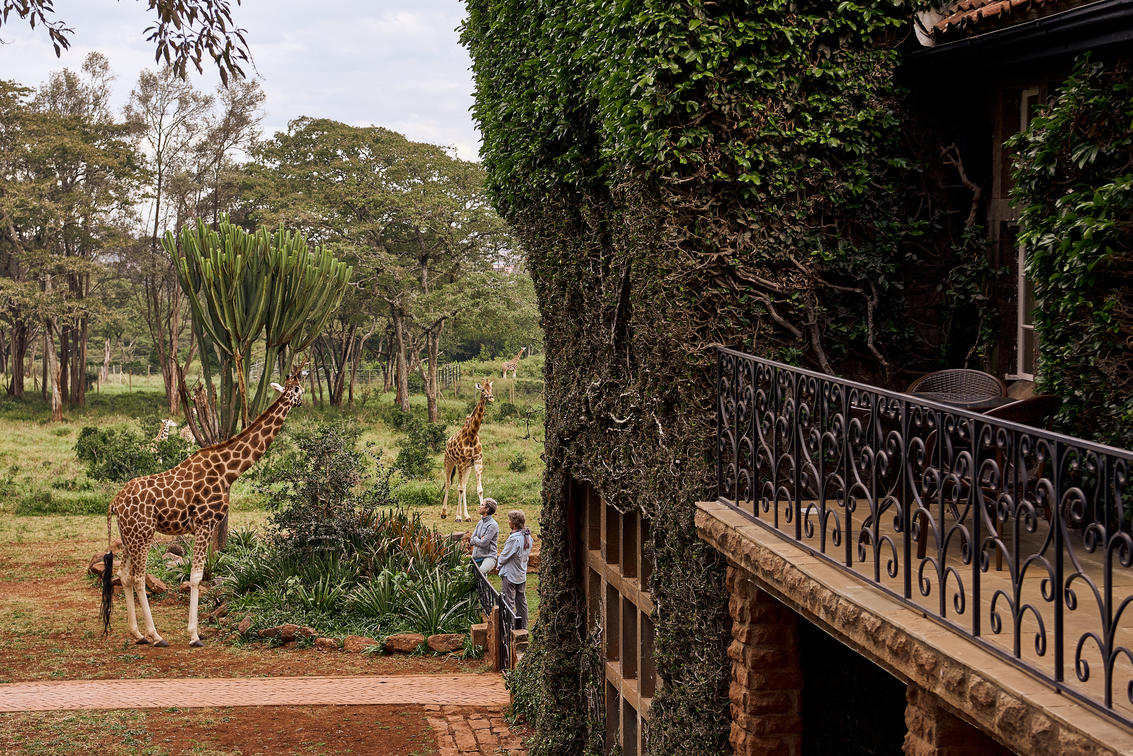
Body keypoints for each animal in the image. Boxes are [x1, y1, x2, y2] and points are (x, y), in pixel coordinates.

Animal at [99, 367, 305, 647]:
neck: (229, 471)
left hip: (128, 534)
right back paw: (155, 636)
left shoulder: (203, 526)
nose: (302, 402)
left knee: (123, 574)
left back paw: (138, 633)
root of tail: (114, 503)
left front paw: (196, 631)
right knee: (139, 577)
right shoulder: (205, 522)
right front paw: (194, 635)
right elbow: (196, 577)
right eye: (298, 389)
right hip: (143, 533)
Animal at [441, 379, 494, 522]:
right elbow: (458, 488)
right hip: (449, 462)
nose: (491, 397)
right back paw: (444, 512)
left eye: (491, 389)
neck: (472, 435)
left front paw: (478, 514)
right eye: (483, 389)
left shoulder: (477, 461)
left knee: (463, 485)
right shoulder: (460, 463)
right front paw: (458, 516)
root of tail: (447, 443)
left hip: (467, 467)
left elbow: (479, 489)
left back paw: (467, 516)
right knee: (448, 483)